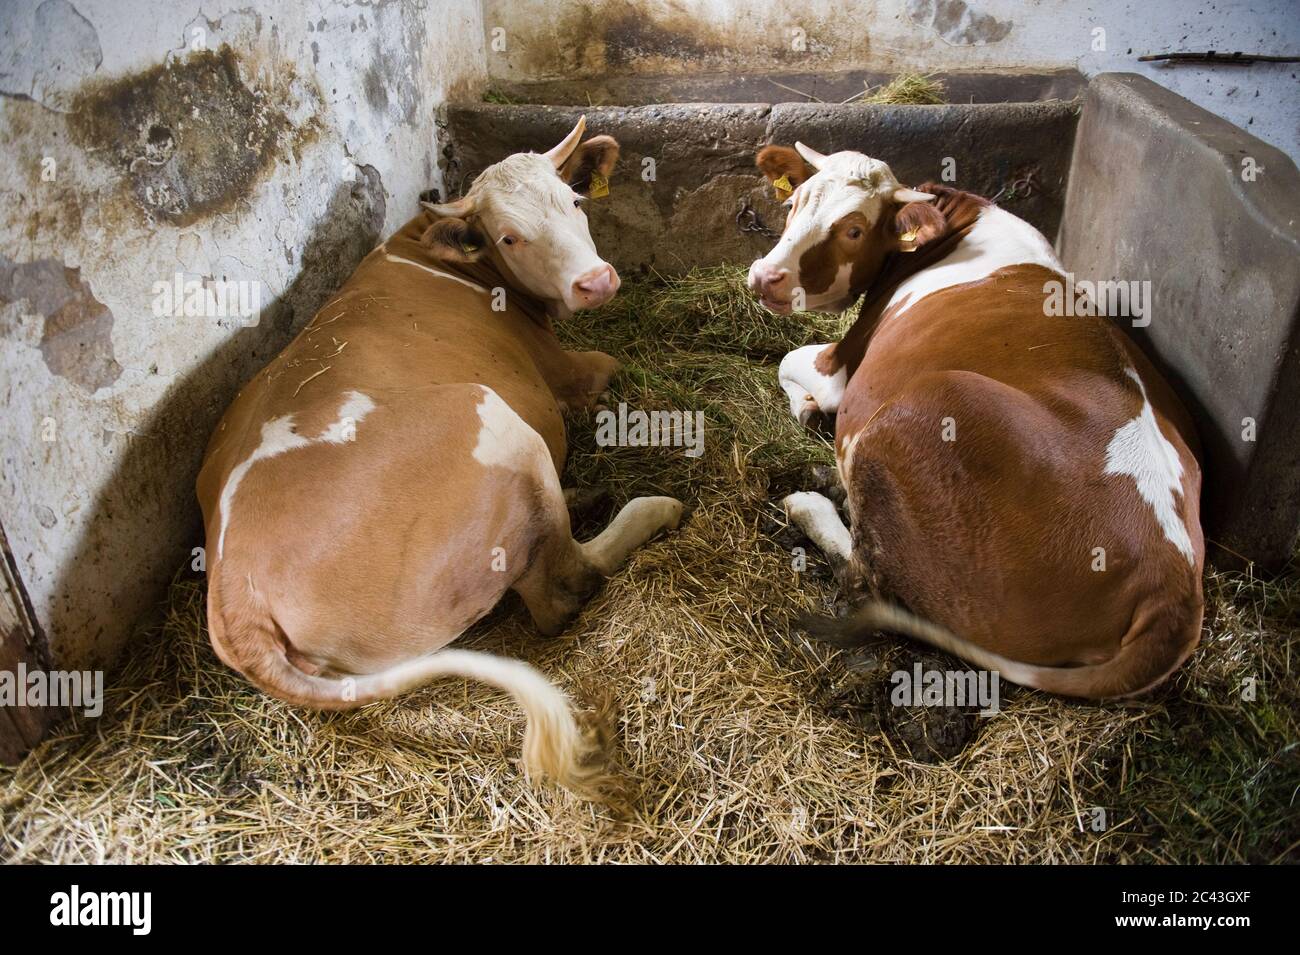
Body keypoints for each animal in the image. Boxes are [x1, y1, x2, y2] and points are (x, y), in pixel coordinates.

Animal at [196, 118, 683, 792]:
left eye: (576, 203)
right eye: (510, 236)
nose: (597, 282)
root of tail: (235, 600)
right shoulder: (573, 372)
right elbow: (606, 367)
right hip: (495, 420)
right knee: (560, 588)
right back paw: (649, 508)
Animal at [748, 142, 1204, 699]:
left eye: (853, 230)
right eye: (794, 204)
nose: (765, 278)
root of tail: (1174, 589)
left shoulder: (840, 369)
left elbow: (786, 361)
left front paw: (807, 409)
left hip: (925, 403)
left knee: (864, 575)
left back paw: (811, 500)